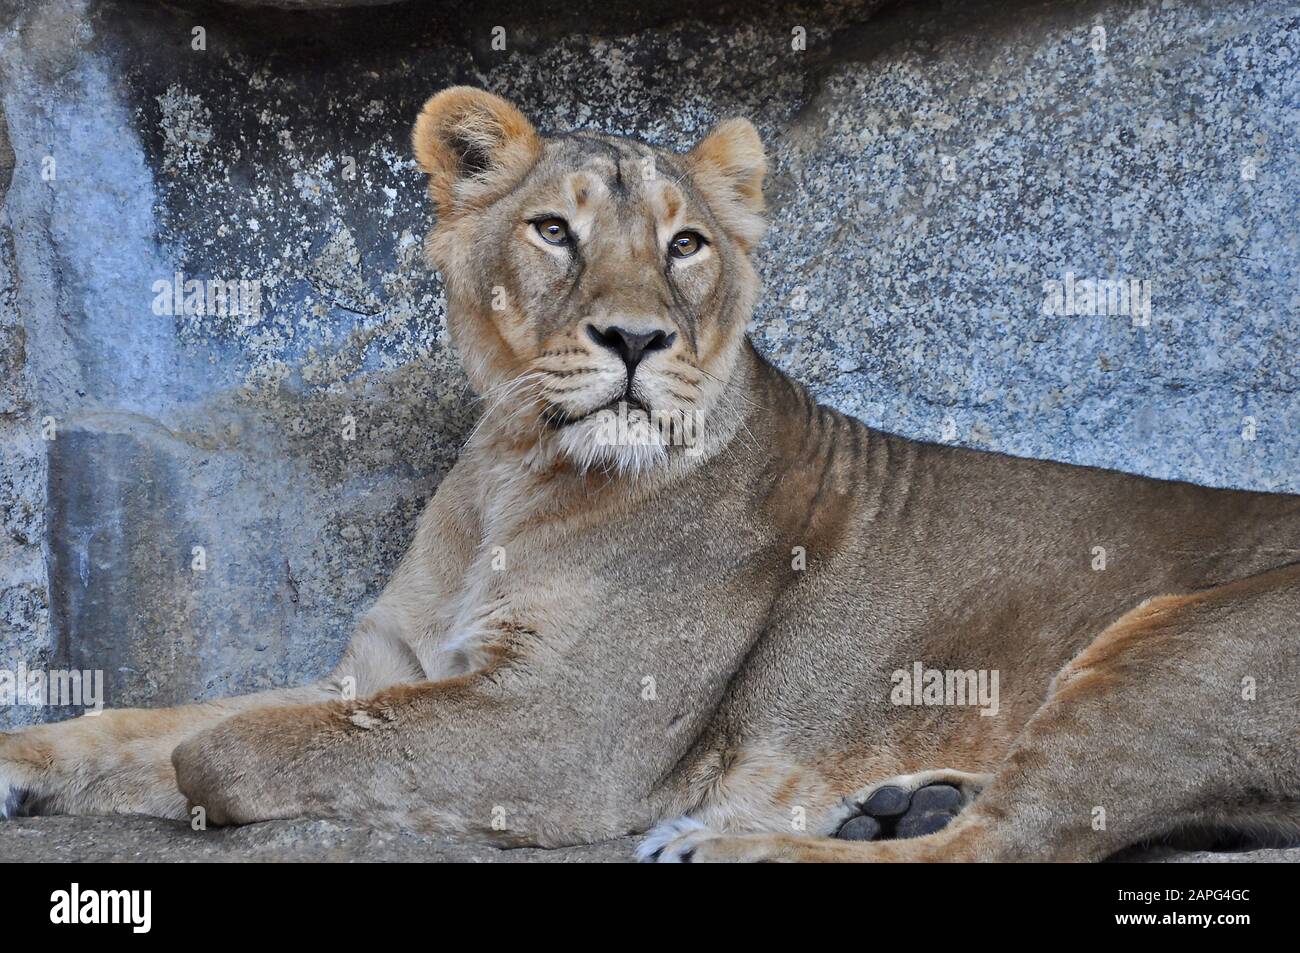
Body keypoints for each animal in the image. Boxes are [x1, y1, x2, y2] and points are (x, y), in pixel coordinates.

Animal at [2, 87, 1297, 863]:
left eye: (686, 244)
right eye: (553, 231)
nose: (635, 339)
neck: (517, 472)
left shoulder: (571, 729)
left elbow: (222, 748)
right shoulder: (389, 671)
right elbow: (153, 721)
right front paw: (23, 764)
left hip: (1176, 643)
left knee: (1011, 842)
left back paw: (740, 839)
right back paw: (896, 800)